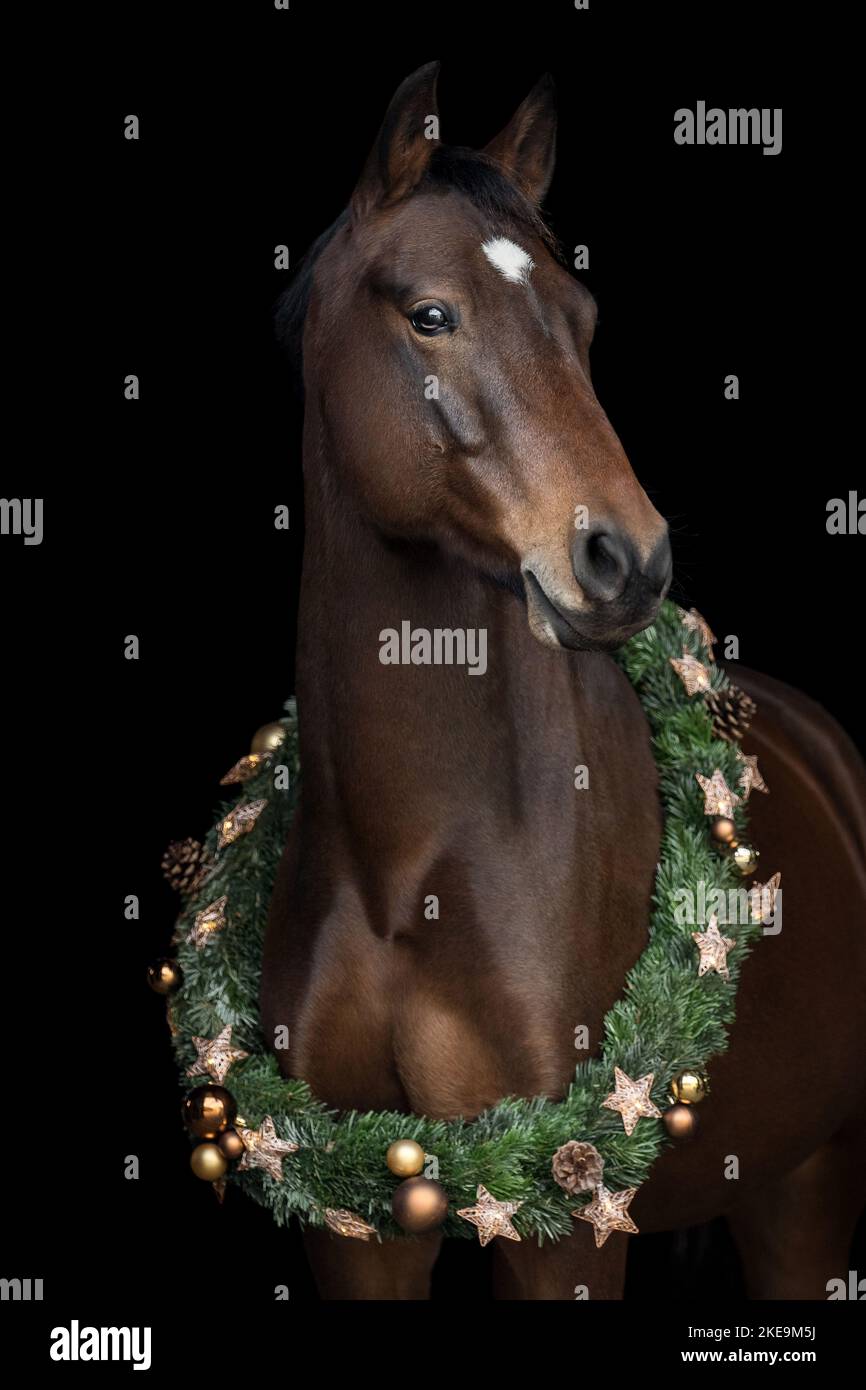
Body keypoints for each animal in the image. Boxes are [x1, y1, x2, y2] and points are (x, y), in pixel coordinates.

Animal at [261, 63, 866, 1300]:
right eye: (430, 314)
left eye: (579, 319)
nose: (625, 559)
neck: (407, 871)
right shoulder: (350, 1228)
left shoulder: (566, 1227)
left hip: (808, 1185)